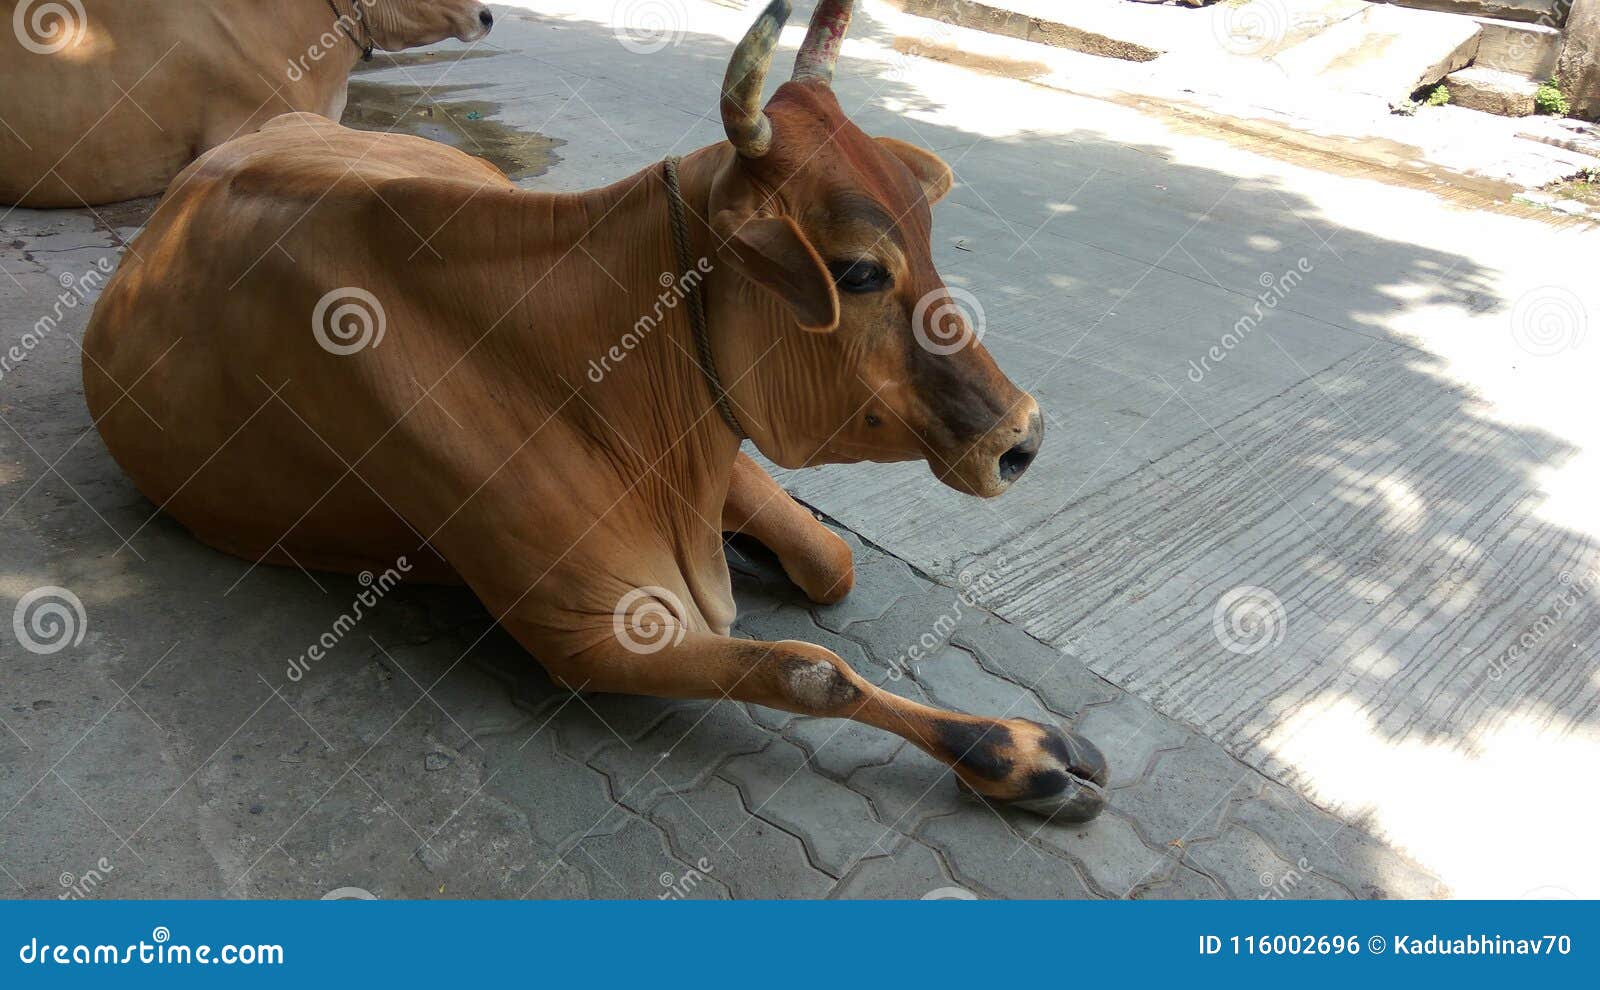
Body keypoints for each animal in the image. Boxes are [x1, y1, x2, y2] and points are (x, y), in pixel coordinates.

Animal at [83, 0, 1110, 823]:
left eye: (928, 233)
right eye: (858, 270)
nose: (1022, 438)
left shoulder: (722, 454)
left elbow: (832, 559)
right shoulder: (591, 636)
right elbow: (806, 668)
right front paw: (1020, 754)